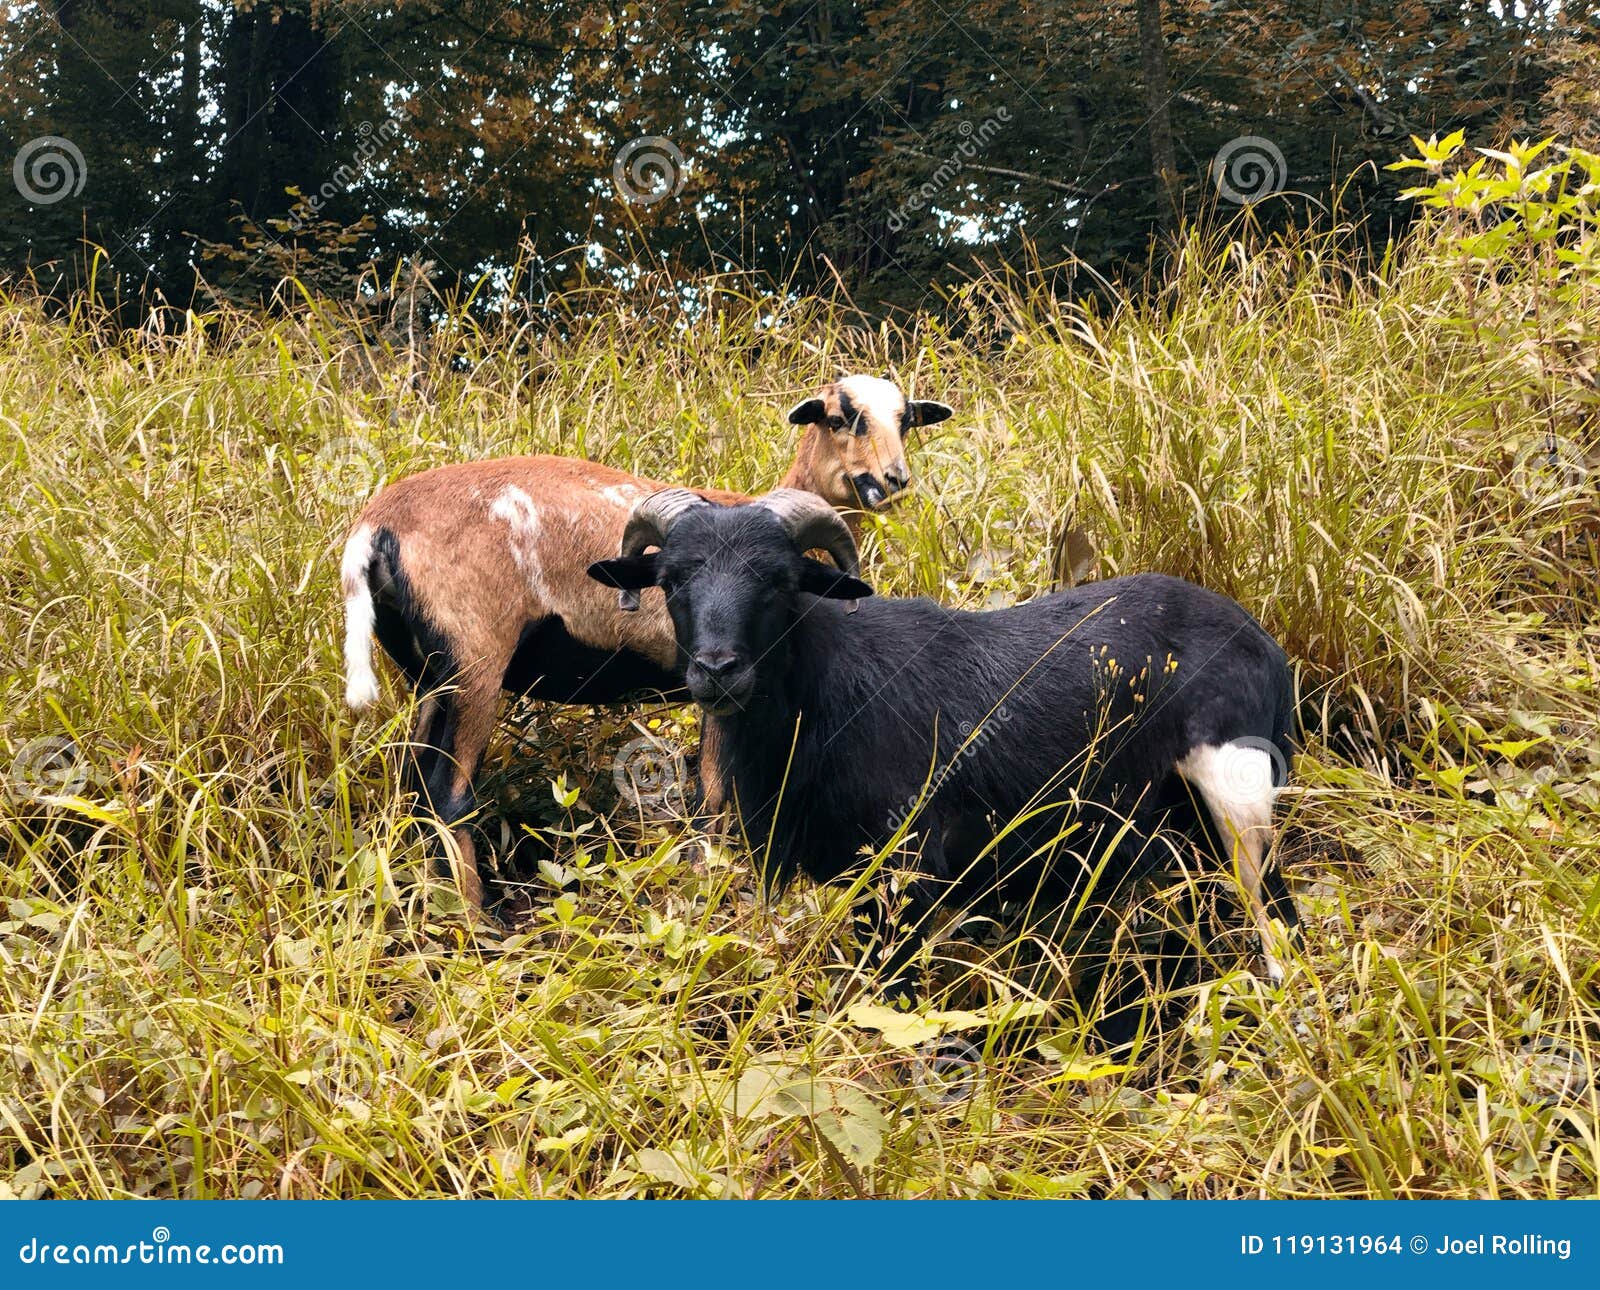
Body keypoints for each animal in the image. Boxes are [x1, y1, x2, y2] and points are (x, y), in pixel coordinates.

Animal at [340, 376, 953, 913]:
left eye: (906, 420)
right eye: (838, 417)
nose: (892, 480)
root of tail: (376, 525)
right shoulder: (718, 686)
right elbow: (714, 799)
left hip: (429, 675)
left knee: (412, 783)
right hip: (476, 663)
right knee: (447, 794)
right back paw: (477, 920)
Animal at [587, 488, 1301, 1013]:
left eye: (781, 582)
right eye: (671, 581)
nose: (717, 670)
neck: (825, 691)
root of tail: (1264, 643)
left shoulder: (905, 871)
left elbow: (892, 993)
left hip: (1236, 789)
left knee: (1276, 917)